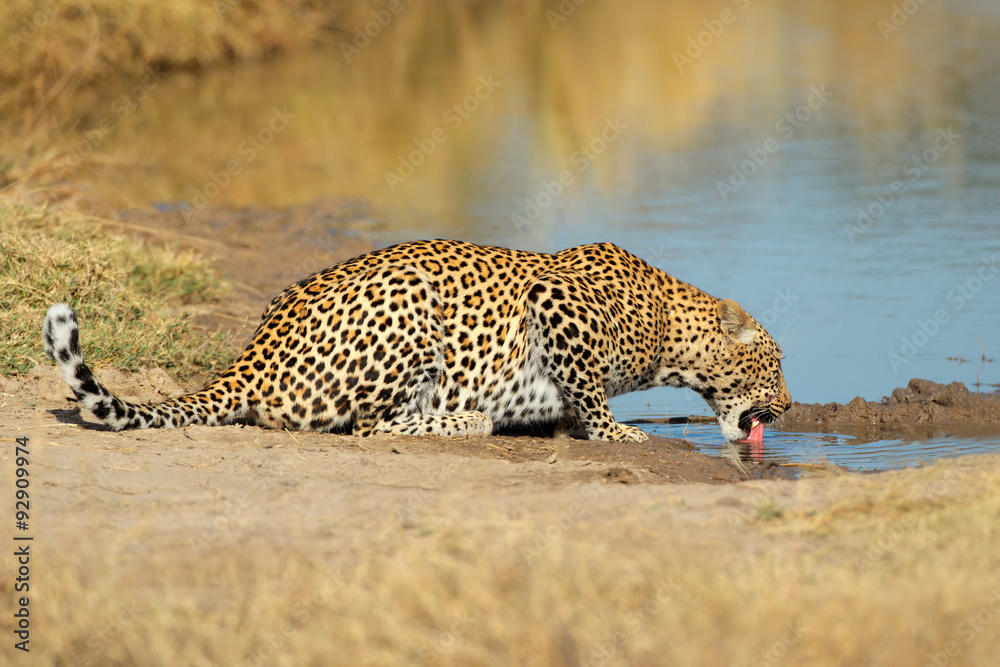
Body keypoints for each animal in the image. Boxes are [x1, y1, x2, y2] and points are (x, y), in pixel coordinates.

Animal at [43, 239, 790, 443]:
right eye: (777, 363)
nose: (786, 407)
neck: (668, 327)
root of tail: (250, 356)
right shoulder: (556, 300)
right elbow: (588, 390)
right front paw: (615, 431)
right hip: (412, 305)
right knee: (370, 424)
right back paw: (468, 419)